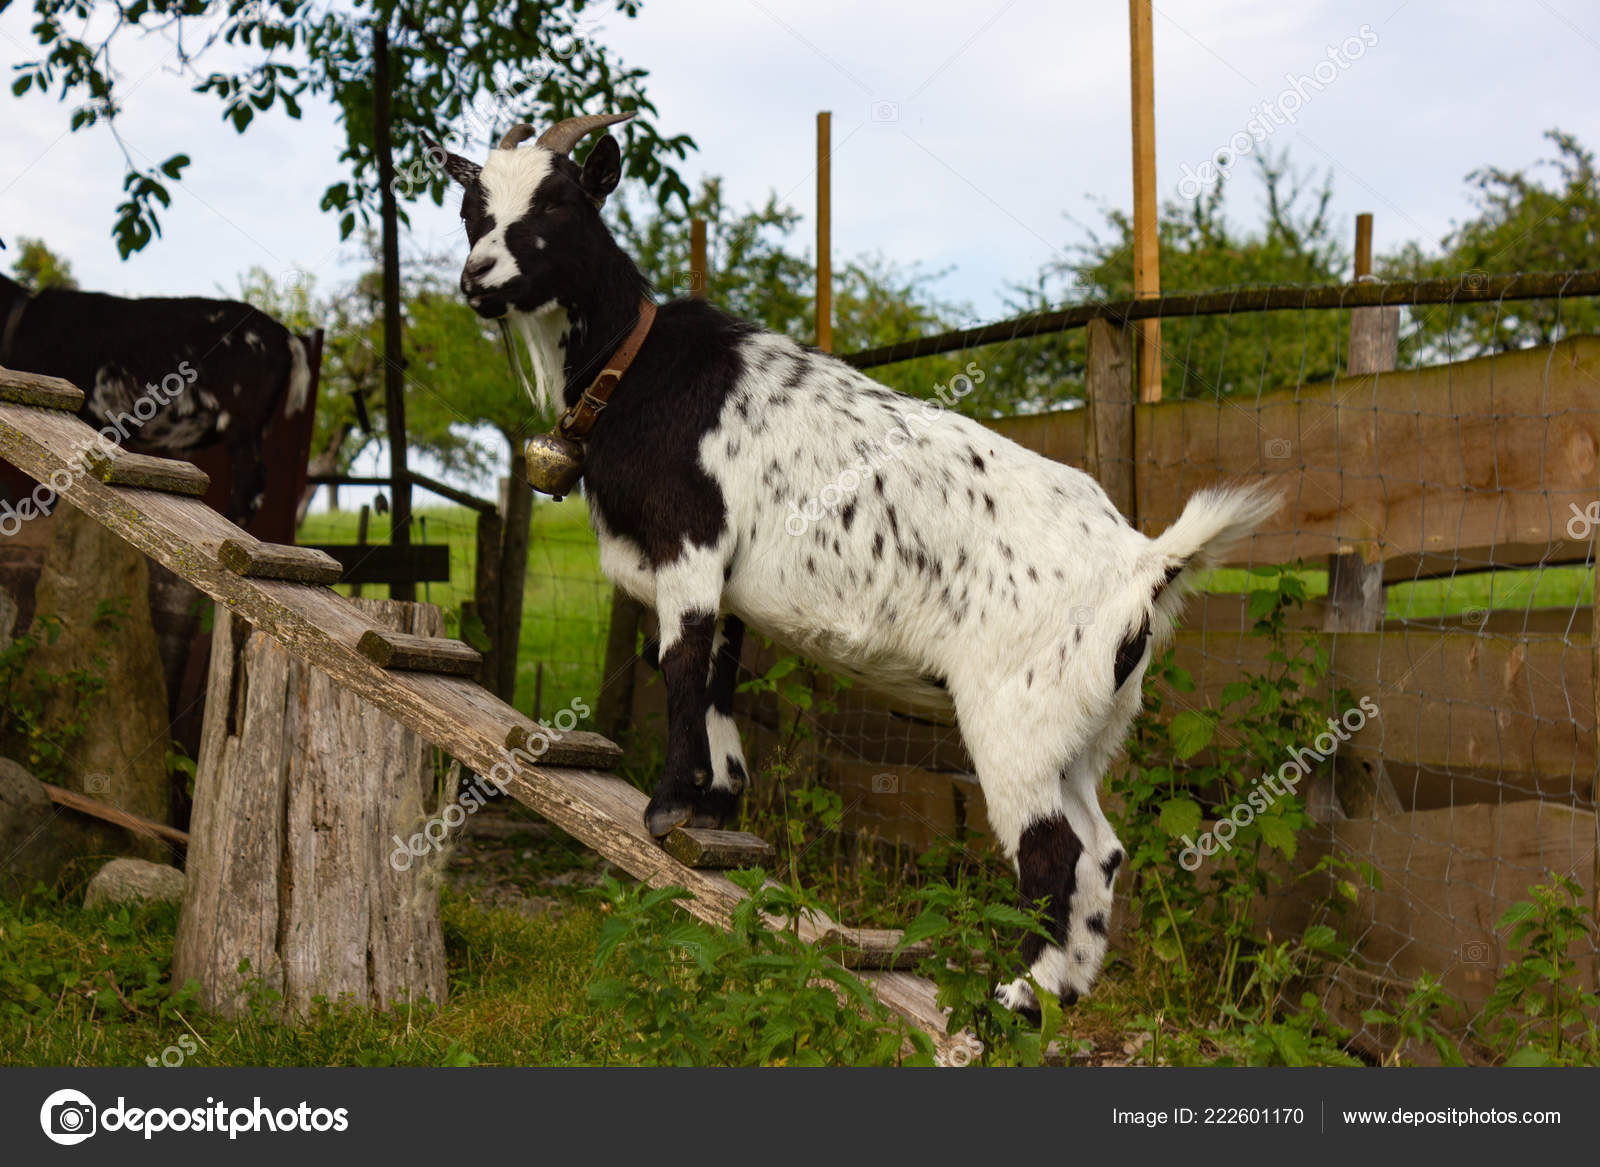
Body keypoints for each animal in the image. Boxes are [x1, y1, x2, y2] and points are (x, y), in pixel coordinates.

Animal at [438, 116, 1280, 1014]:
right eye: (470, 208)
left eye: (560, 202)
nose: (479, 277)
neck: (633, 371)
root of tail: (1143, 560)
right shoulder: (726, 585)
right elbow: (720, 681)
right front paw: (716, 805)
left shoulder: (690, 544)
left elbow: (681, 663)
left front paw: (667, 808)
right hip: (1083, 724)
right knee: (1104, 850)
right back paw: (1054, 998)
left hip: (1013, 715)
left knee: (1054, 855)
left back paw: (1009, 995)